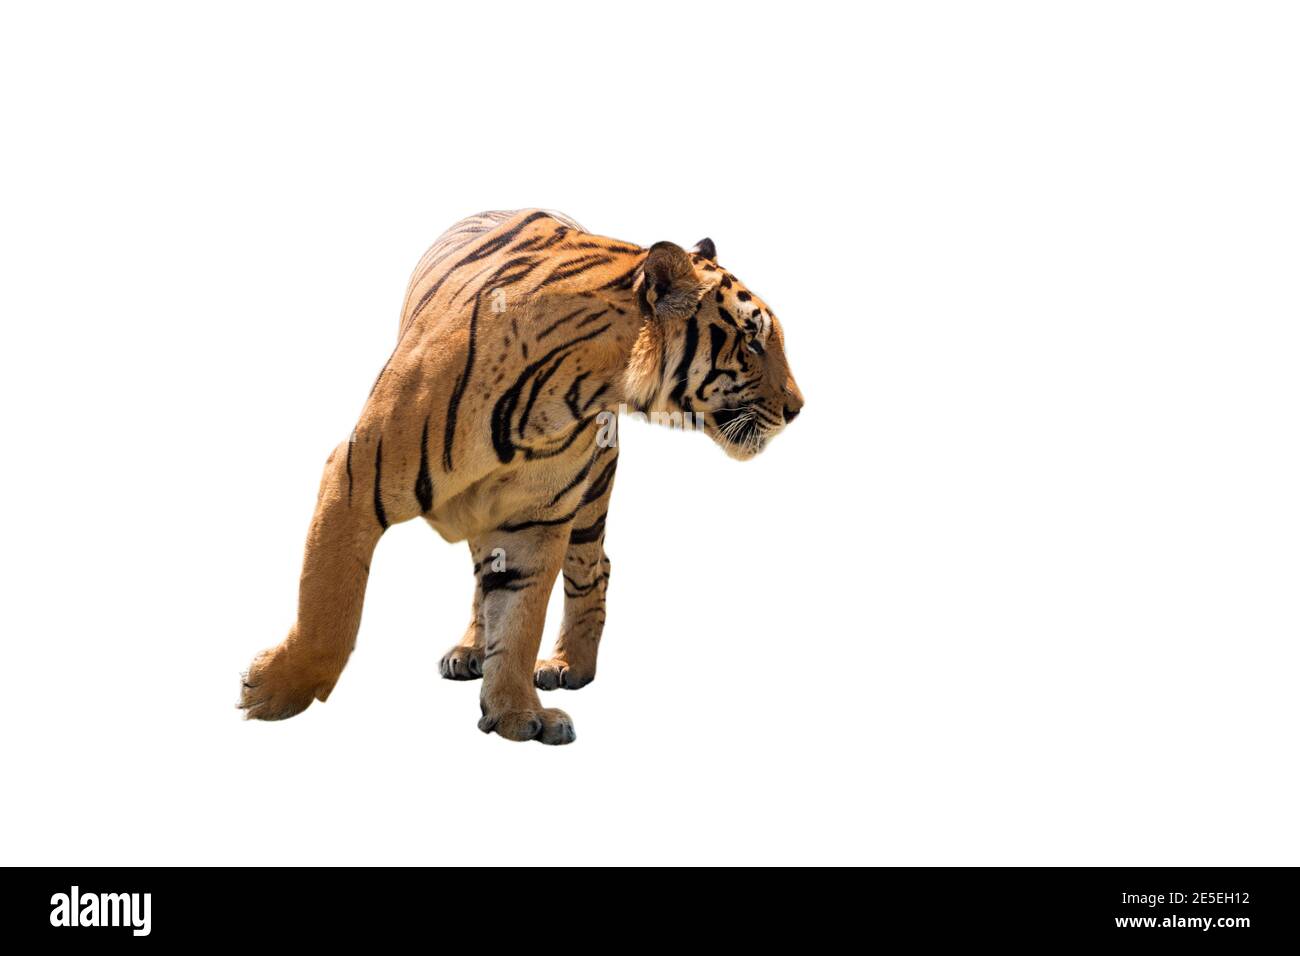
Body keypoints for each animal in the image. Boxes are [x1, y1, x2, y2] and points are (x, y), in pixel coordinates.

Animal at [239, 209, 804, 744]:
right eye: (752, 341)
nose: (798, 409)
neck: (577, 386)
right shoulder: (354, 480)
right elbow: (328, 601)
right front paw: (273, 692)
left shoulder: (538, 520)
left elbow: (520, 618)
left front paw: (517, 712)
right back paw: (470, 650)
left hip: (588, 501)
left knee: (593, 569)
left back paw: (570, 665)